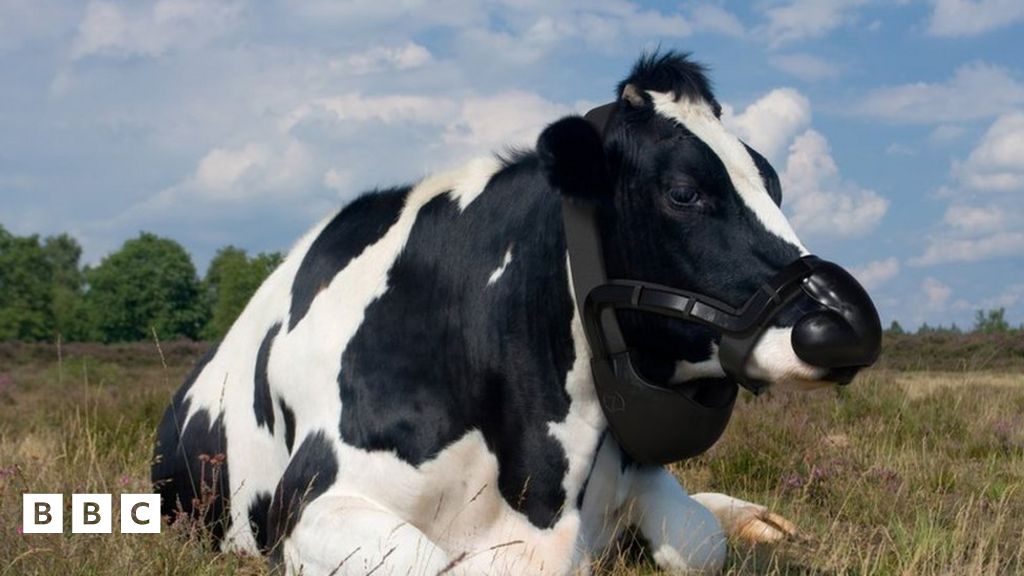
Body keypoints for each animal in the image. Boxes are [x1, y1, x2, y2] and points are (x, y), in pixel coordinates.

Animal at [152, 51, 881, 575]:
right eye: (683, 192)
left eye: (774, 183)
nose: (848, 325)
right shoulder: (312, 501)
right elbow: (429, 562)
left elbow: (699, 540)